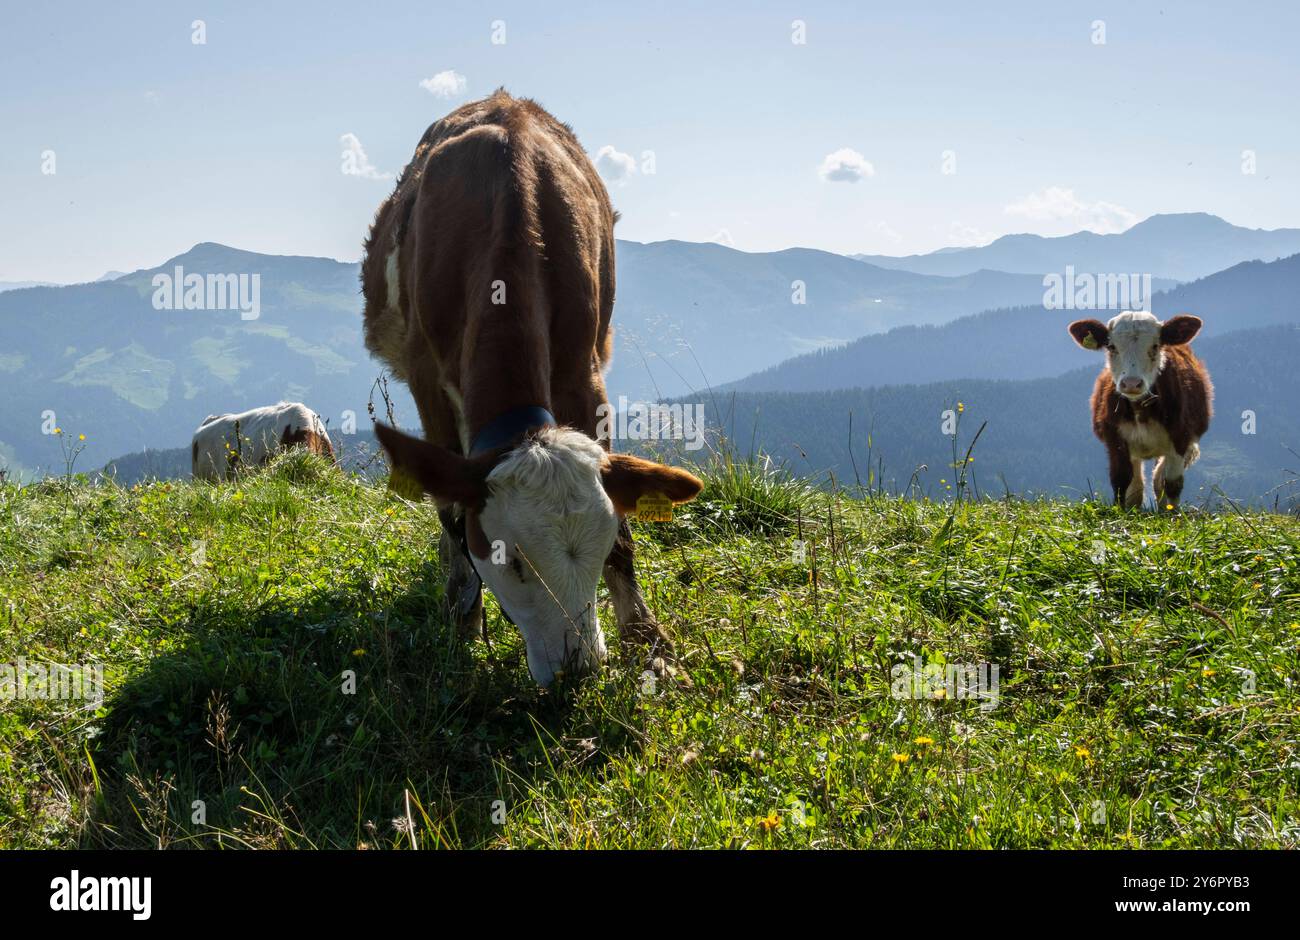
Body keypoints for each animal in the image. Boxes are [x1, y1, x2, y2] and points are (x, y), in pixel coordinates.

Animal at [360, 90, 703, 686]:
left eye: (599, 545)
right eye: (511, 561)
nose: (578, 667)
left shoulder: (583, 371)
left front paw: (646, 638)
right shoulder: (428, 379)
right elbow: (449, 503)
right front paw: (464, 621)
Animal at [1067, 311, 1212, 510]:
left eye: (1155, 346)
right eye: (1111, 346)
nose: (1131, 383)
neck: (1139, 410)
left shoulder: (1180, 438)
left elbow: (1172, 483)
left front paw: (1173, 513)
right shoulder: (1115, 439)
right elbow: (1121, 481)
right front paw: (1120, 512)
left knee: (1159, 480)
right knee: (1138, 483)